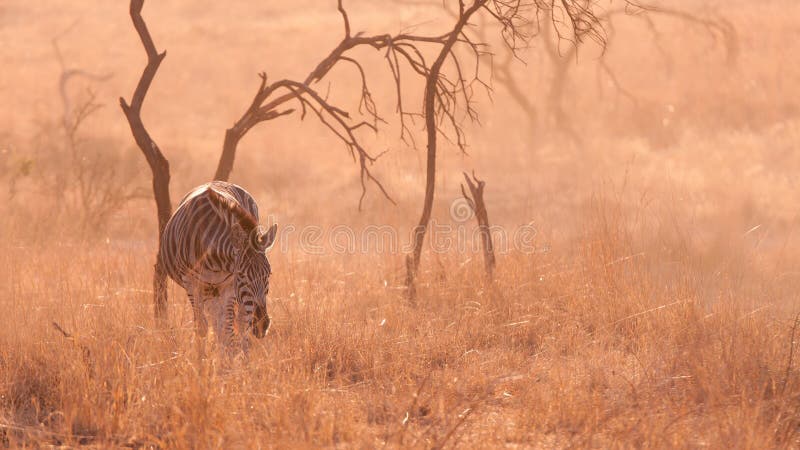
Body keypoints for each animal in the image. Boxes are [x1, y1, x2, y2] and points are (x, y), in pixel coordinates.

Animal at [161, 181, 278, 353]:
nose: (262, 325)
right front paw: (201, 359)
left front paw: (229, 359)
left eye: (268, 274)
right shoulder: (191, 283)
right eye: (241, 275)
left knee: (240, 324)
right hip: (209, 290)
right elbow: (201, 328)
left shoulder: (228, 286)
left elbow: (227, 330)